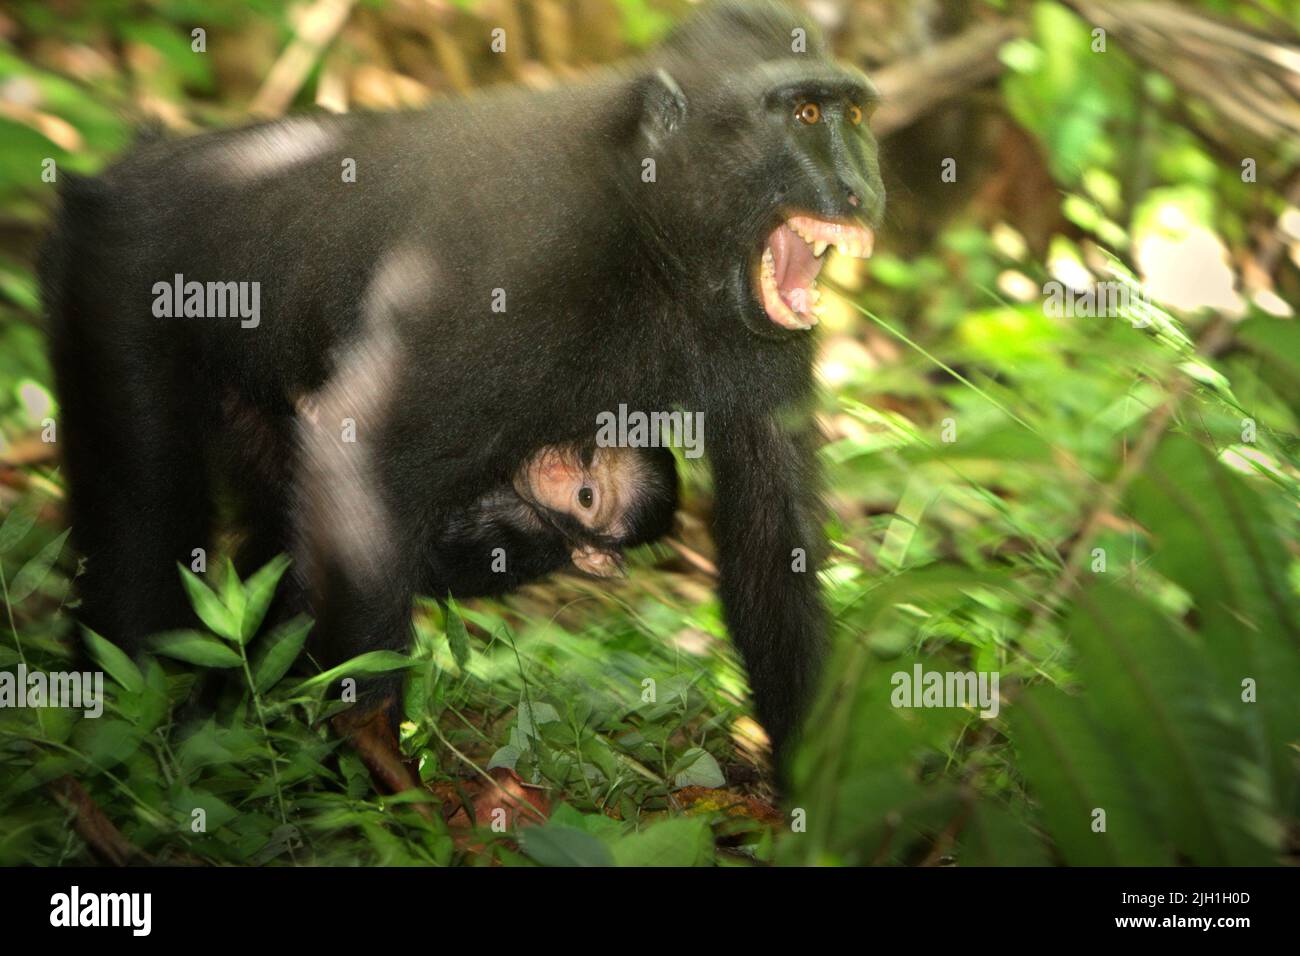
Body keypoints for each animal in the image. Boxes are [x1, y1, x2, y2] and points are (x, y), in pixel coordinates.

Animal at [41, 0, 884, 770]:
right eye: (806, 113)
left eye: (854, 114)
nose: (862, 187)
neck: (652, 227)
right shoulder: (516, 262)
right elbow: (361, 452)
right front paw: (378, 773)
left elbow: (771, 542)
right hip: (118, 275)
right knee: (145, 516)